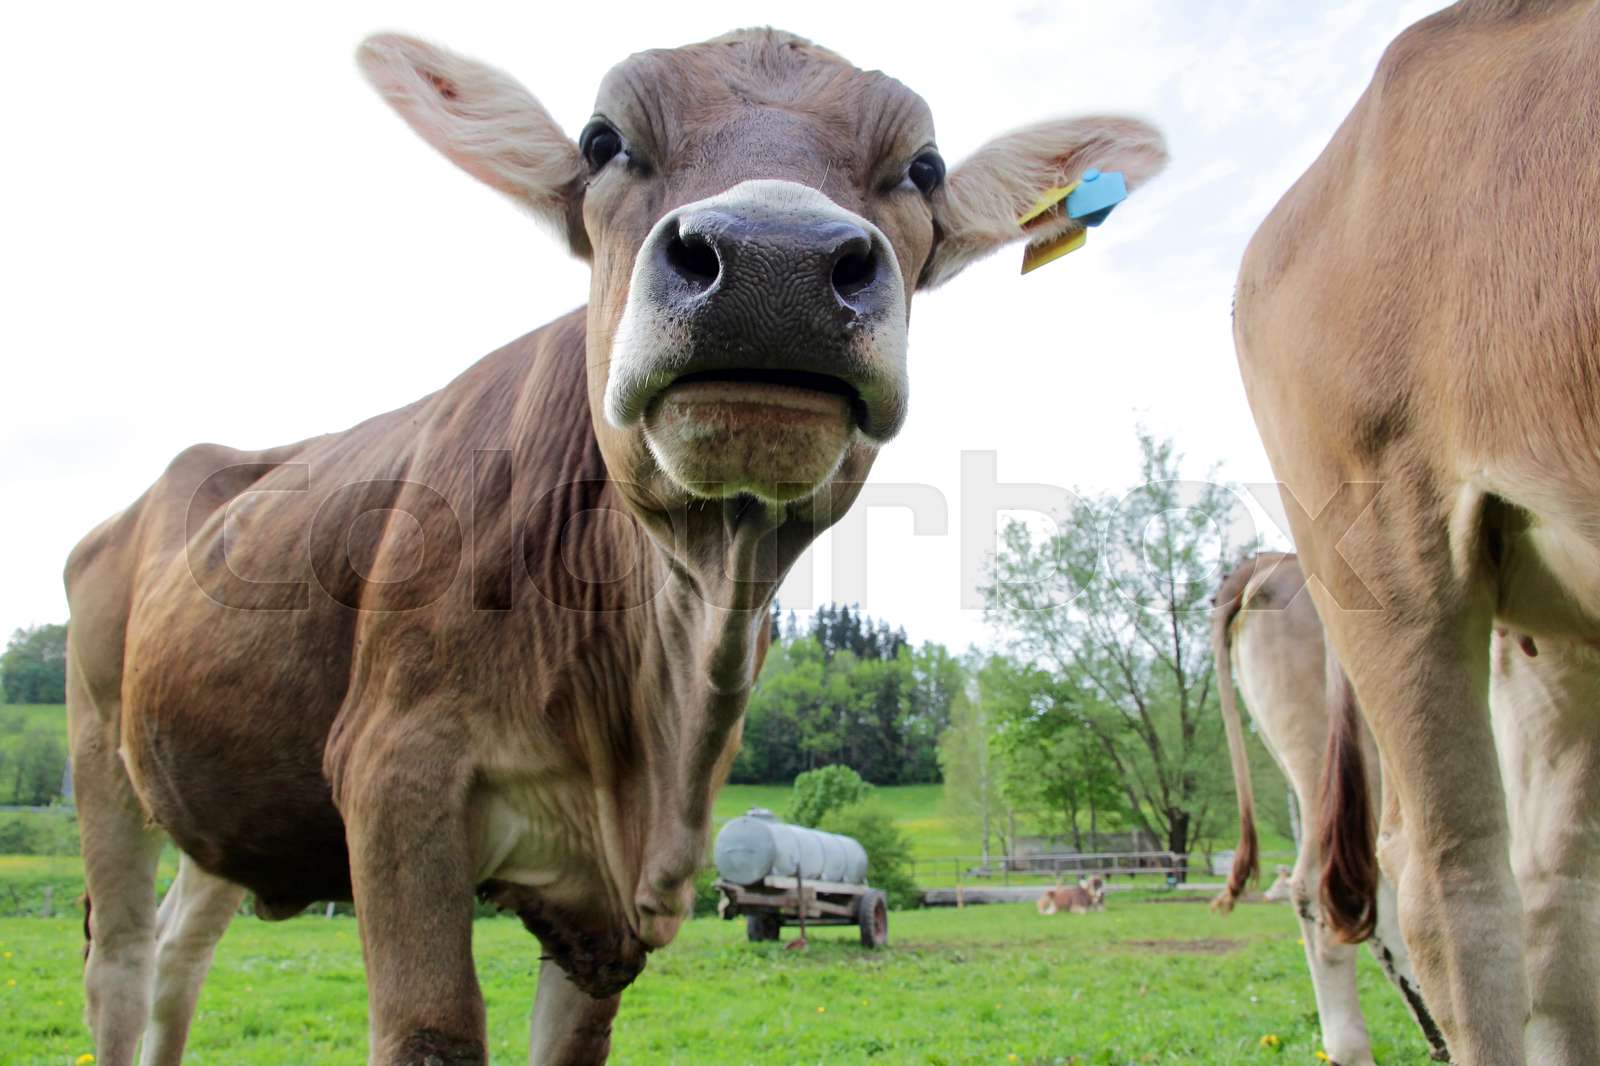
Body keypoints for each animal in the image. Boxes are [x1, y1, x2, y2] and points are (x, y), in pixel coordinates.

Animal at [64, 27, 1167, 1066]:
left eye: (924, 168)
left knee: (182, 952)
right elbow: (430, 1029)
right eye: (603, 142)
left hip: (224, 793)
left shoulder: (602, 912)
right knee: (121, 960)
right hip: (99, 749)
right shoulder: (394, 774)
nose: (774, 259)